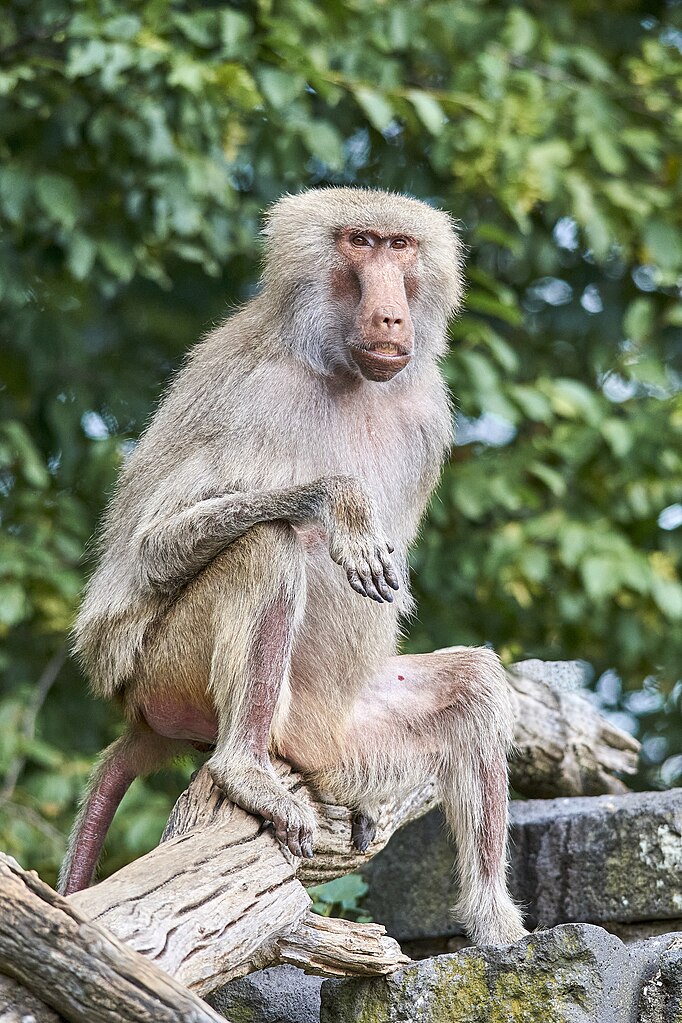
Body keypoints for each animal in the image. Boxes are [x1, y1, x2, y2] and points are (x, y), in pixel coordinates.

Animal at [59, 187, 527, 947]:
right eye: (360, 242)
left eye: (401, 246)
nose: (391, 315)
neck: (344, 371)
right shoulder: (252, 390)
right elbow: (152, 544)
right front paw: (341, 504)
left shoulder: (429, 411)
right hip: (165, 677)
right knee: (265, 546)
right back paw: (246, 769)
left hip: (347, 737)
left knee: (474, 686)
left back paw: (496, 926)